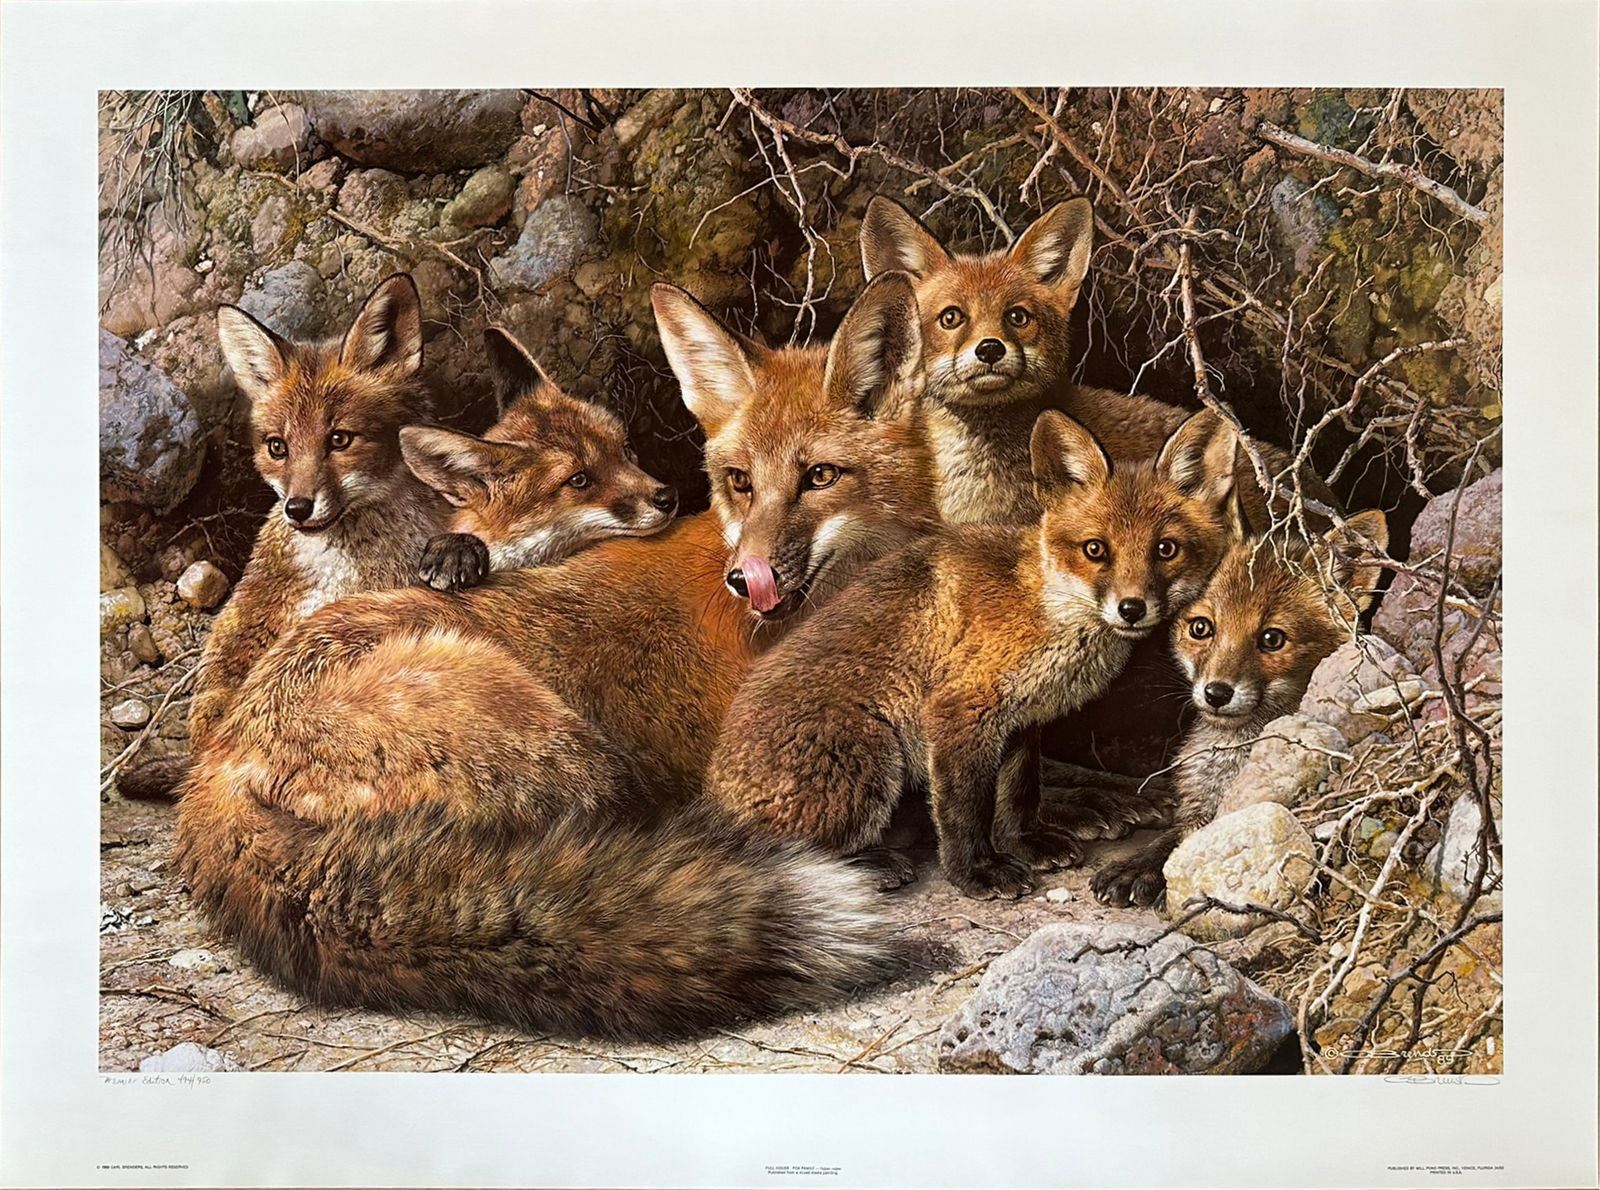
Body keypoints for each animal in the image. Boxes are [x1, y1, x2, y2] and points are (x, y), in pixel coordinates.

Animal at [707, 407, 1242, 899]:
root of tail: (709, 792)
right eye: (1095, 550)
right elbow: (966, 810)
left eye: (1166, 549)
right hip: (872, 759)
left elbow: (1018, 794)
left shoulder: (1022, 720)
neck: (1041, 606)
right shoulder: (960, 710)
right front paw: (976, 872)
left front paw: (1027, 842)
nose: (1132, 609)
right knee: (782, 856)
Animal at [1090, 509, 1389, 909]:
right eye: (1201, 628)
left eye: (1272, 638)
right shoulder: (1198, 807)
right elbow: (1172, 838)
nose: (1216, 693)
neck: (1233, 758)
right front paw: (1137, 865)